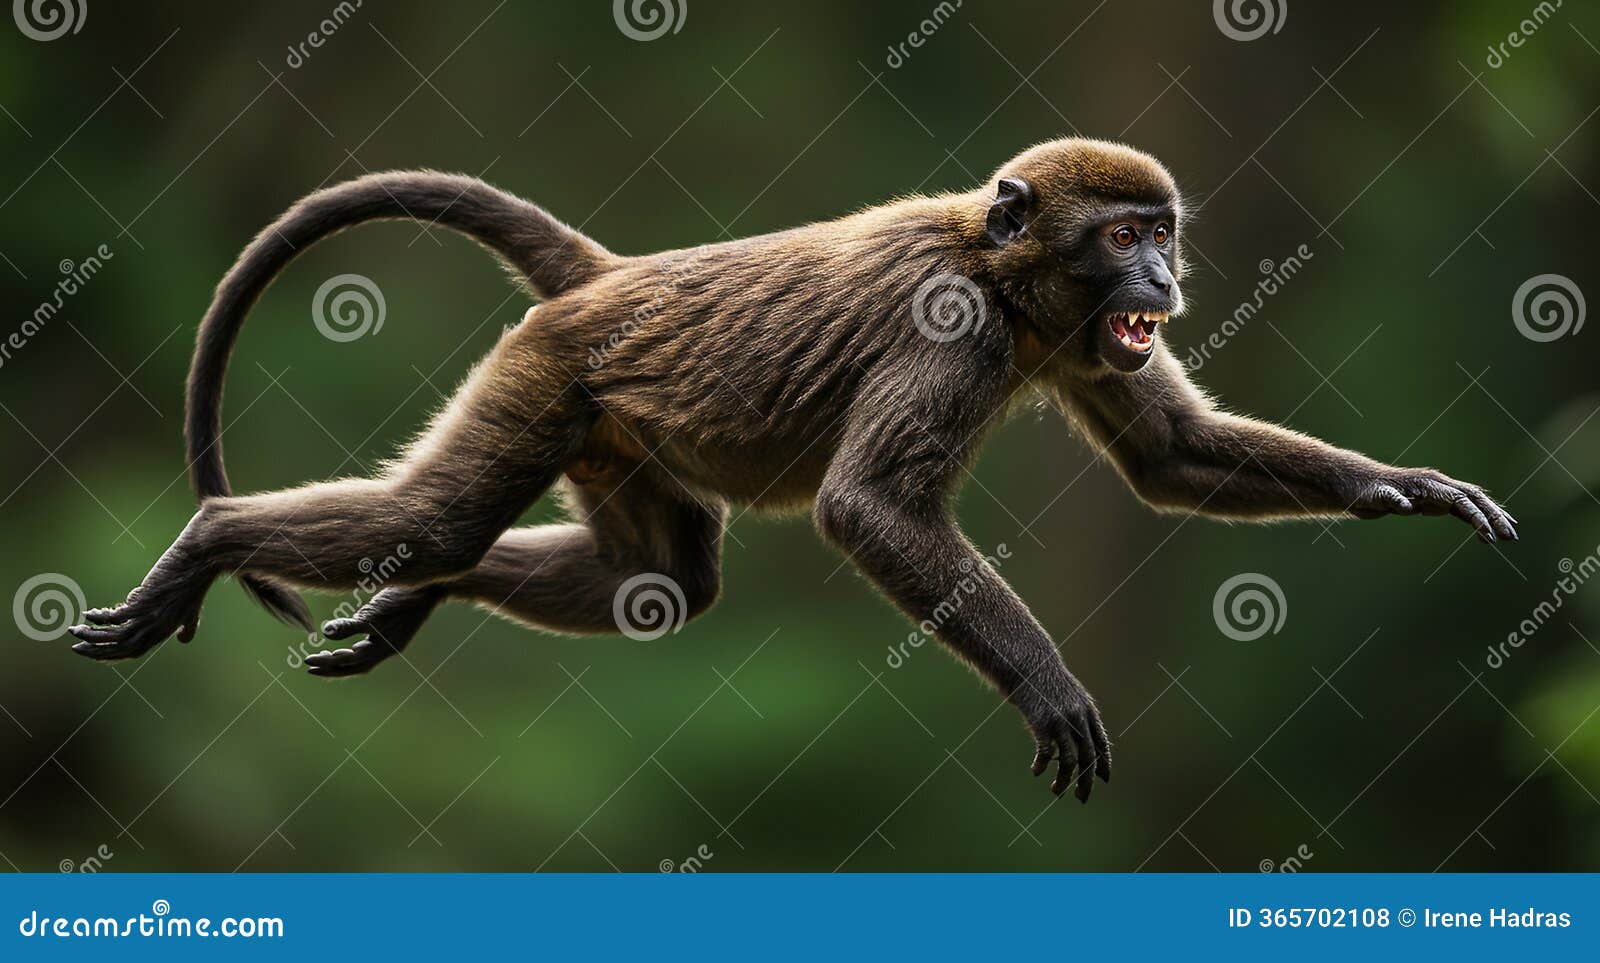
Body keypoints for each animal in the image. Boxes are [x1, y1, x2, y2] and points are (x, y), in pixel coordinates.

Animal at [67, 138, 1516, 804]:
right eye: (1124, 236)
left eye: (1162, 232)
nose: (1164, 278)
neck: (999, 270)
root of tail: (608, 277)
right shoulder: (954, 324)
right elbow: (866, 507)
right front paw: (1048, 688)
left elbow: (1170, 455)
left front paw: (1401, 488)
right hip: (551, 371)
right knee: (447, 509)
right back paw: (209, 539)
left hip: (608, 421)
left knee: (658, 575)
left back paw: (422, 594)